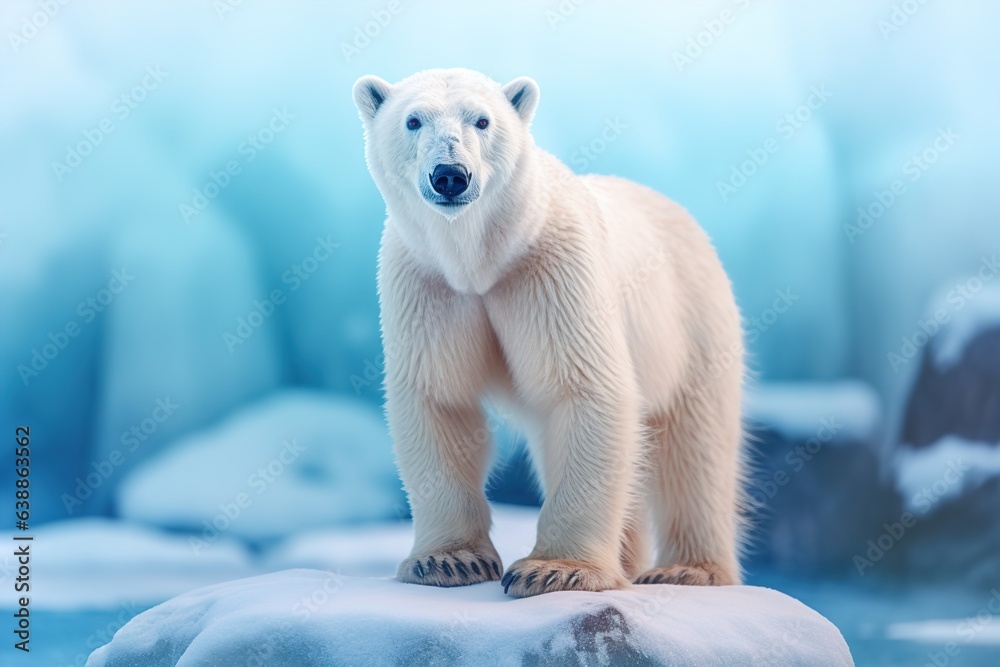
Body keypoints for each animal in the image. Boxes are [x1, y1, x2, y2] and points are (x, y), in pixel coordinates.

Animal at [352, 68, 746, 598]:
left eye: (482, 120)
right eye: (414, 120)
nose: (450, 174)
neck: (481, 261)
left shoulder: (552, 268)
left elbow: (585, 389)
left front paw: (556, 569)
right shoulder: (427, 284)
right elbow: (440, 398)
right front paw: (447, 561)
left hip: (693, 319)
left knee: (696, 447)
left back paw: (687, 569)